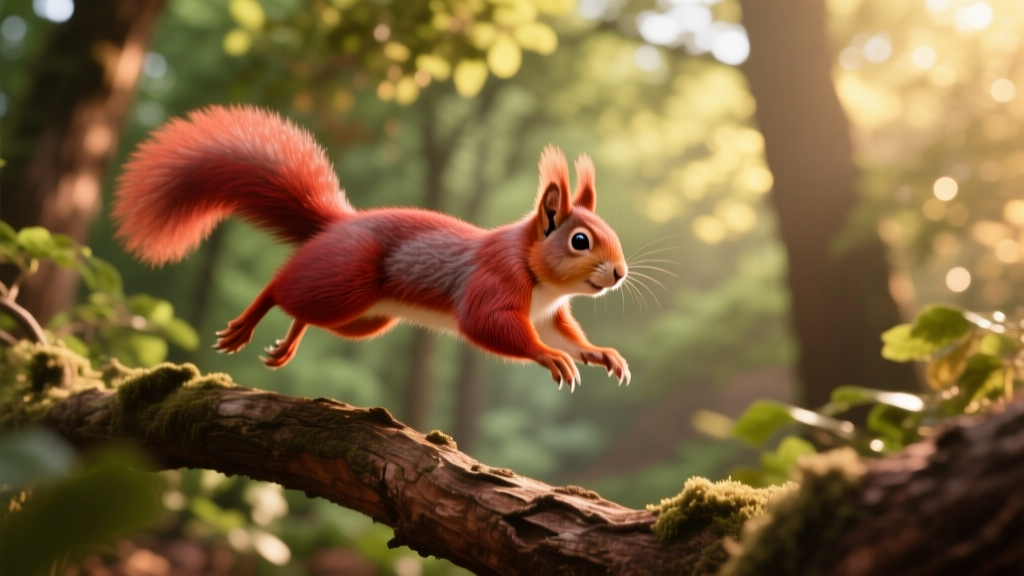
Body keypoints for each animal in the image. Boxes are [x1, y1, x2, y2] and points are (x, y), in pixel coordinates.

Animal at [113, 105, 630, 391]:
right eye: (580, 240)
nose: (620, 273)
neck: (540, 278)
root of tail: (337, 226)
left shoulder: (548, 314)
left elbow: (569, 336)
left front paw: (602, 354)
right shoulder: (494, 280)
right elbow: (488, 324)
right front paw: (549, 357)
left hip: (364, 318)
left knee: (305, 310)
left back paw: (286, 344)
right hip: (347, 279)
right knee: (279, 288)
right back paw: (245, 325)